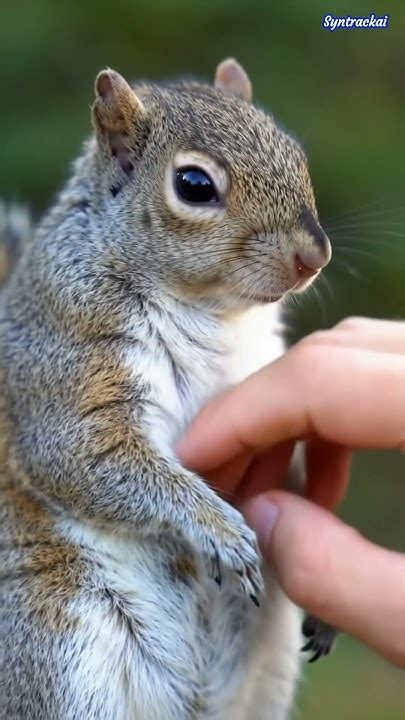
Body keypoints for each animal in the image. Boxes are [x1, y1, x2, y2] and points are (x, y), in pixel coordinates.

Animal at [0, 58, 333, 719]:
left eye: (295, 152)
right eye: (194, 185)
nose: (315, 255)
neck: (215, 313)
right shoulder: (66, 355)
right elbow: (87, 457)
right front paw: (220, 530)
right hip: (57, 644)